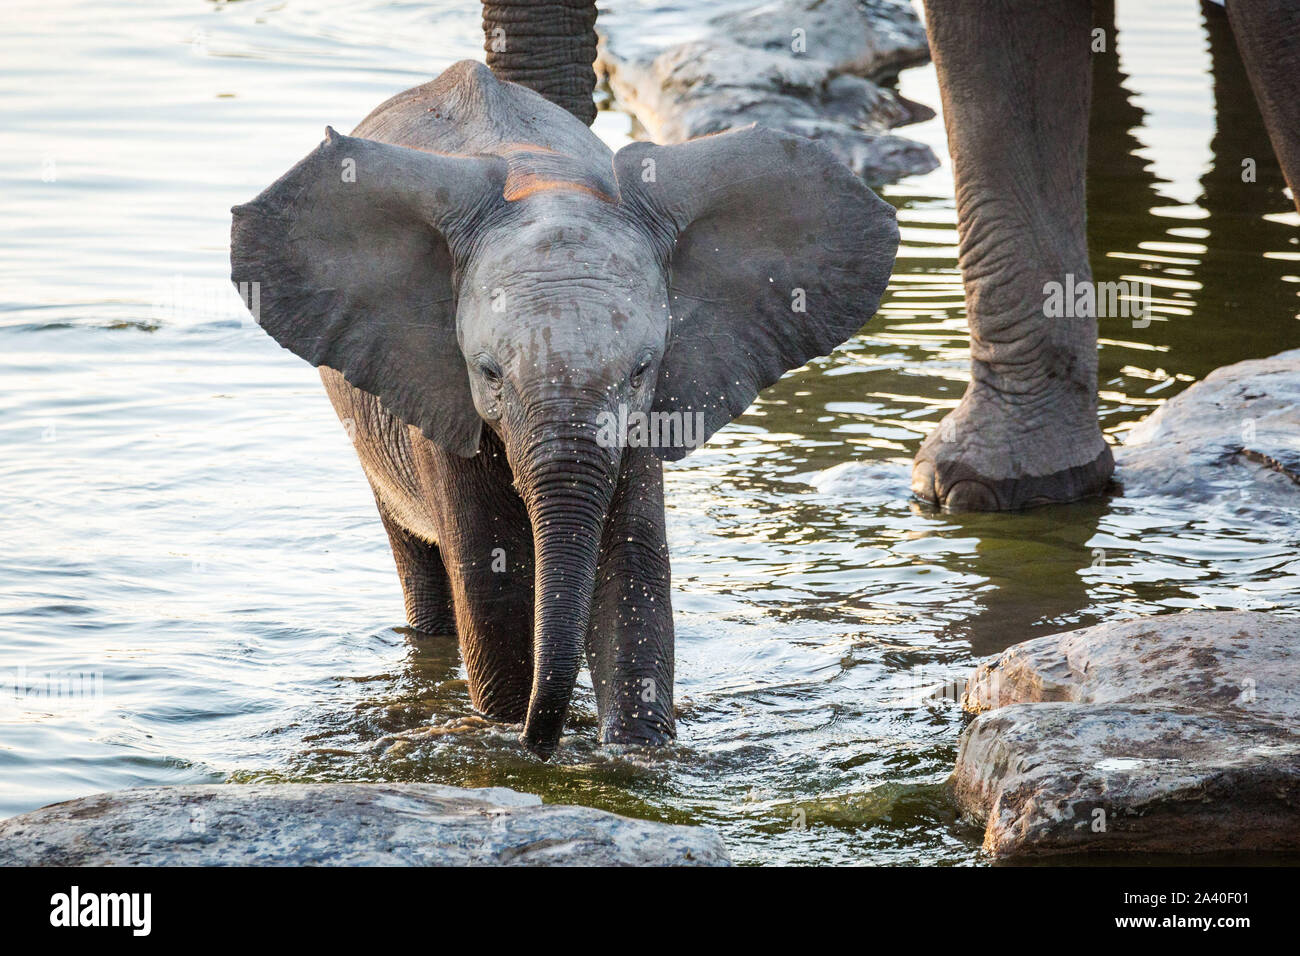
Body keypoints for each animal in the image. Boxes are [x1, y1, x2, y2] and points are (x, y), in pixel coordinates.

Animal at [229, 56, 899, 756]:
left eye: (640, 370)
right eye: (489, 372)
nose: (541, 739)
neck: (543, 177)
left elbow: (631, 567)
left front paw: (632, 756)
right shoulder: (441, 395)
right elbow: (492, 585)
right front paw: (508, 734)